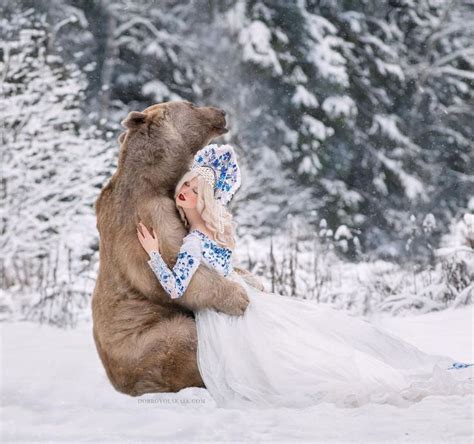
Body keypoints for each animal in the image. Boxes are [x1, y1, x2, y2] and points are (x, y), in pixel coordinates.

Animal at [90, 99, 264, 396]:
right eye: (191, 105)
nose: (221, 112)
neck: (155, 179)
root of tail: (116, 382)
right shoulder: (147, 218)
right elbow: (178, 270)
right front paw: (238, 297)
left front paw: (255, 281)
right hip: (143, 340)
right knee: (182, 339)